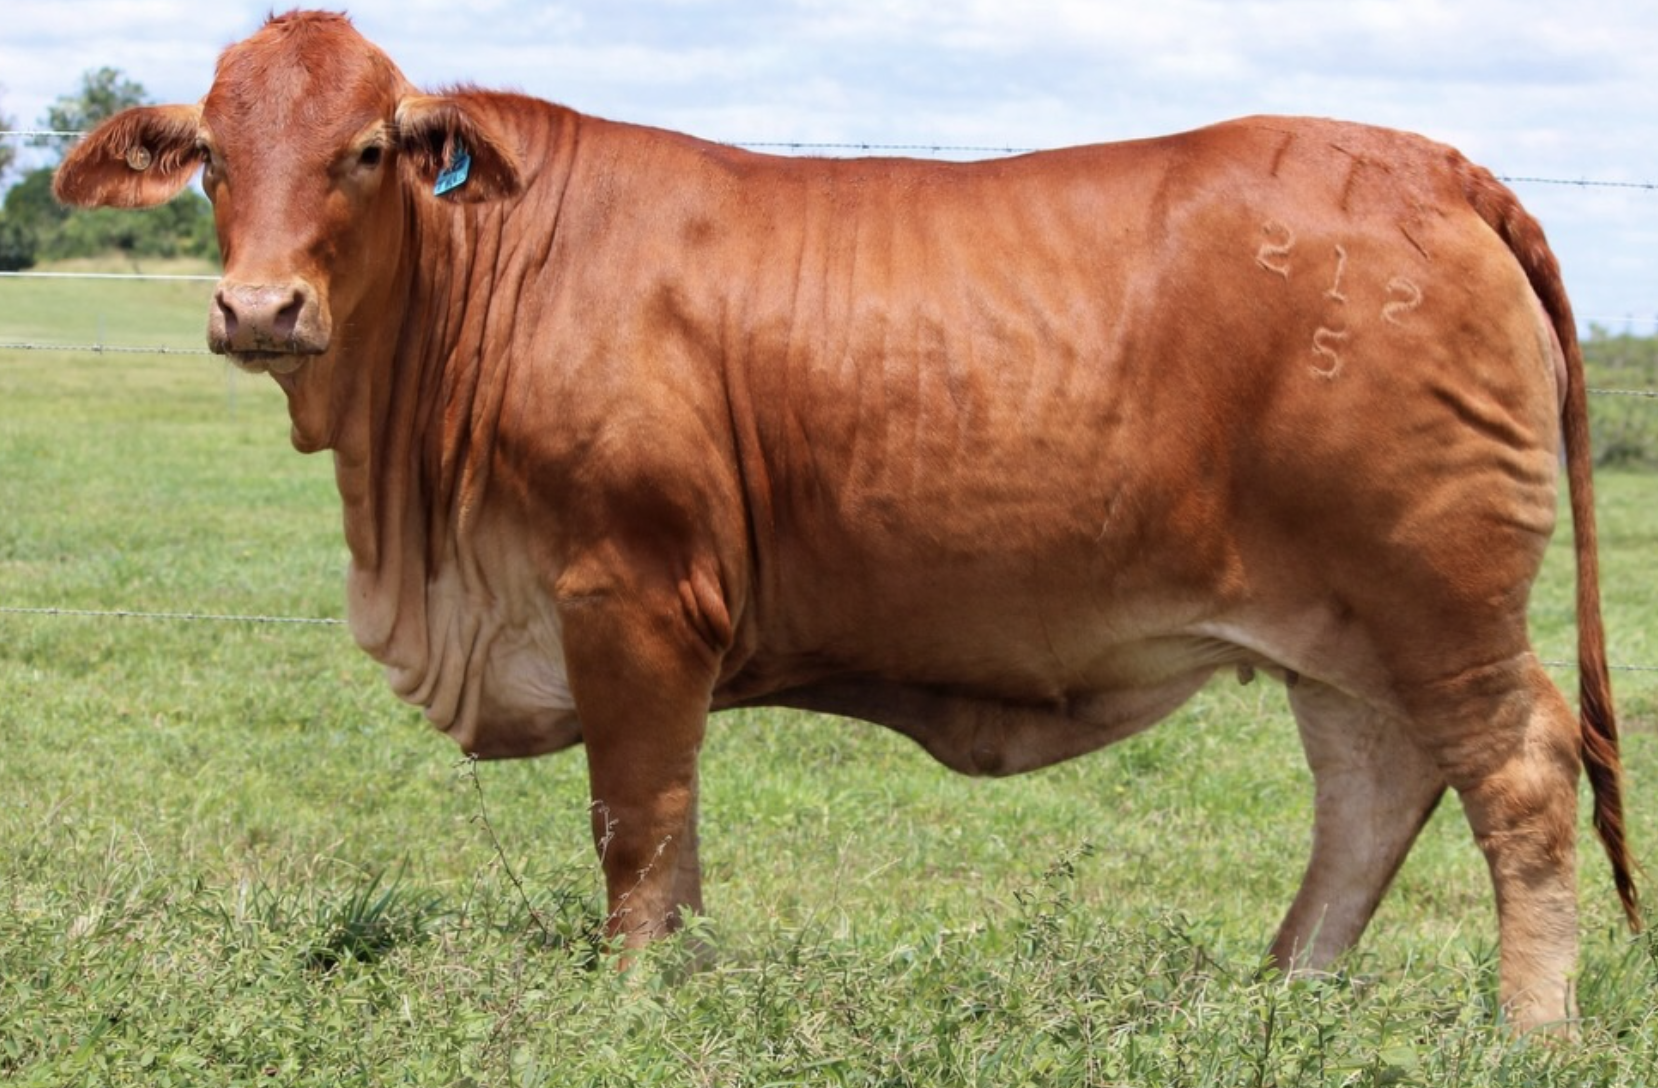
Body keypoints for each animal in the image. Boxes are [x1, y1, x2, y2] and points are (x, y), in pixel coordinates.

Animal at [54, 11, 1637, 1032]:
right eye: (211, 154)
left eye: (371, 149)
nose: (260, 308)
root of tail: (1423, 160)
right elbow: (672, 837)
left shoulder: (630, 597)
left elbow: (637, 824)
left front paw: (629, 1002)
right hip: (1339, 625)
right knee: (1370, 784)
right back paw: (1283, 996)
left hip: (1437, 593)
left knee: (1514, 768)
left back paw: (1528, 1029)